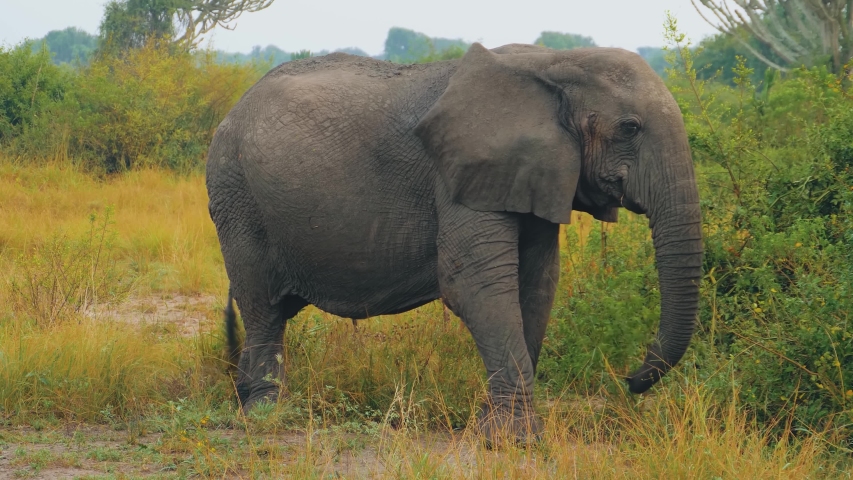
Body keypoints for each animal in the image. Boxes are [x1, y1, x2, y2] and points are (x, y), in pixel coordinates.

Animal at [206, 43, 703, 443]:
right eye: (630, 128)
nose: (630, 379)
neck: (553, 64)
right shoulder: (461, 174)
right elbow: (476, 287)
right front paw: (514, 441)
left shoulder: (532, 172)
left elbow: (537, 285)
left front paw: (490, 426)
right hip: (236, 194)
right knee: (264, 308)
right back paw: (265, 414)